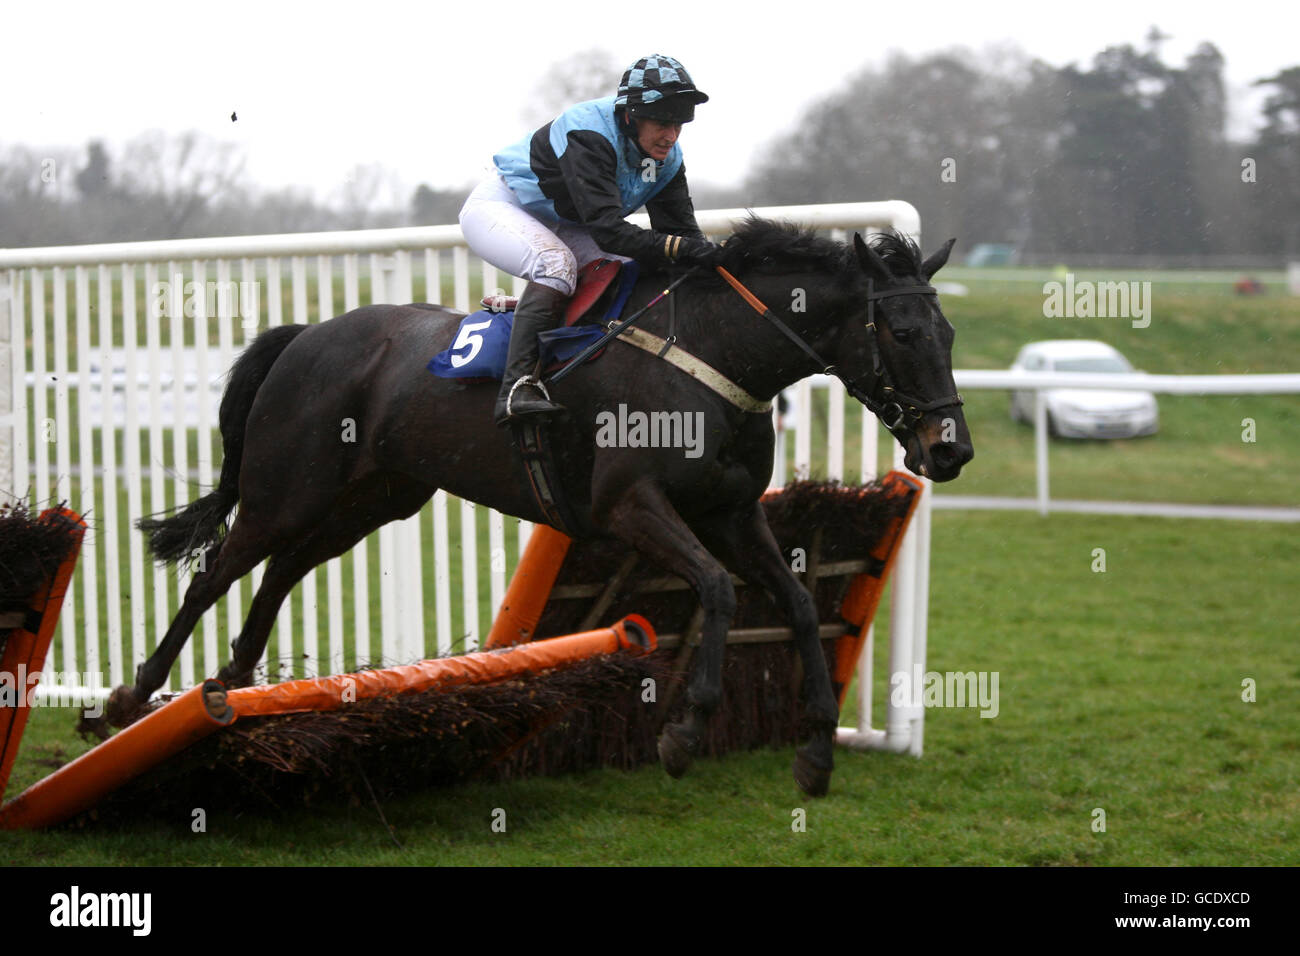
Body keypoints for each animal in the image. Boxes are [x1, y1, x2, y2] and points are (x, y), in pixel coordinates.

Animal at [92, 217, 973, 797]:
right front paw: (686, 729)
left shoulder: (732, 513)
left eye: (950, 331)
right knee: (218, 570)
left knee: (280, 571)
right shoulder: (630, 506)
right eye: (900, 331)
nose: (950, 450)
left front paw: (817, 747)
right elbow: (719, 590)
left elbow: (792, 600)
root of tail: (309, 334)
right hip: (290, 487)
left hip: (373, 499)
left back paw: (234, 686)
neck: (711, 355)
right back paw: (129, 700)